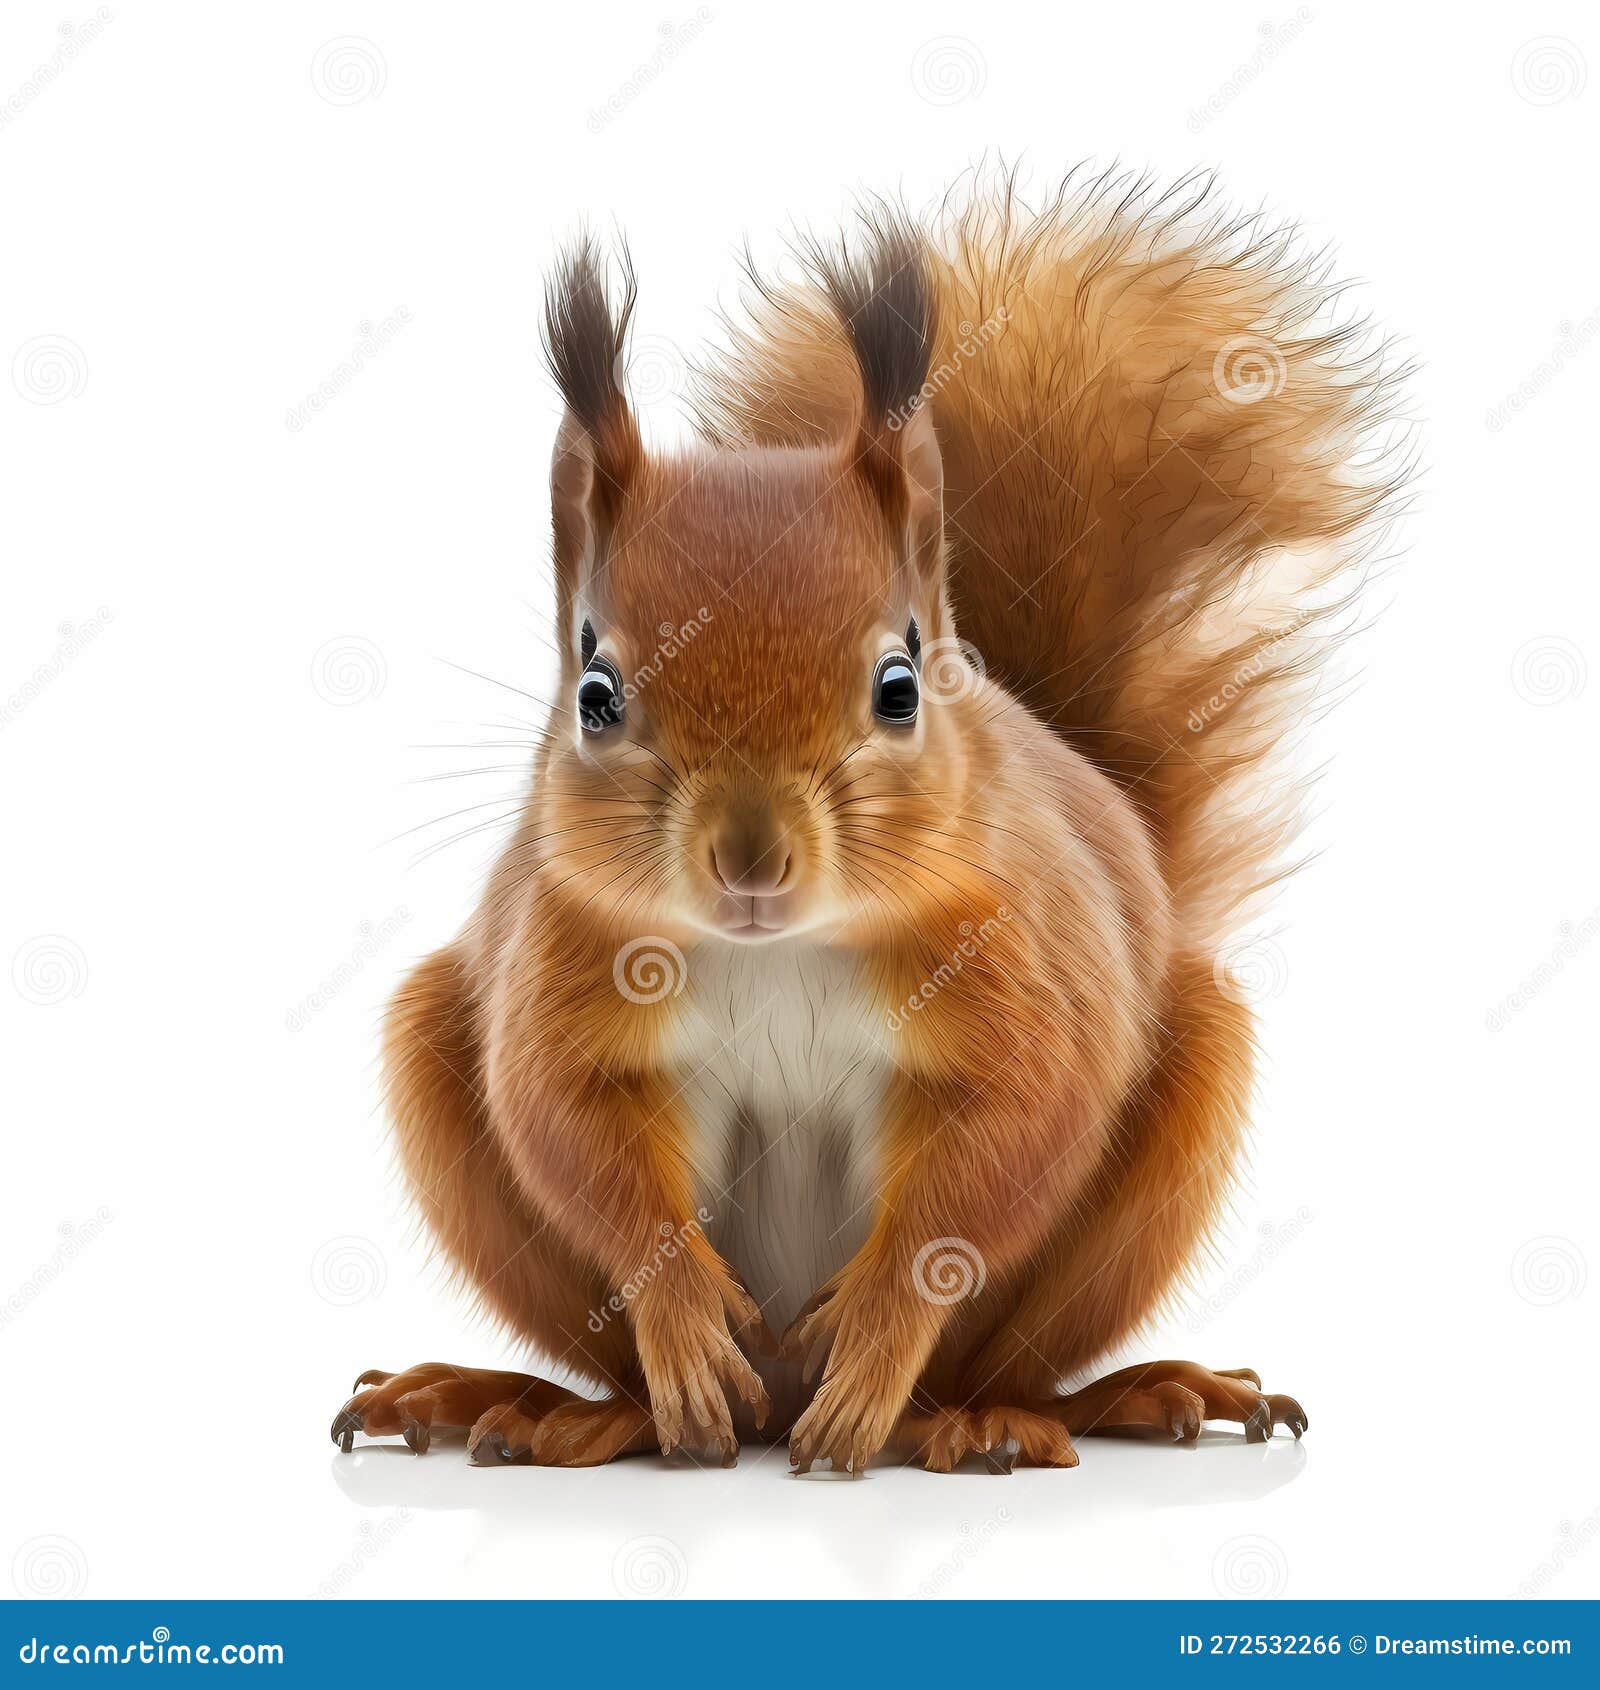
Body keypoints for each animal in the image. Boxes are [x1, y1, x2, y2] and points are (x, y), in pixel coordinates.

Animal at [332, 169, 1405, 1474]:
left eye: (900, 685)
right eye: (595, 695)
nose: (749, 859)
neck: (777, 949)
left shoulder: (1020, 965)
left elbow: (997, 1157)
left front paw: (882, 1324)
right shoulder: (560, 964)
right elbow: (575, 1139)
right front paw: (679, 1308)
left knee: (1002, 1363)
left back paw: (1036, 1408)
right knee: (629, 1365)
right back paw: (554, 1408)